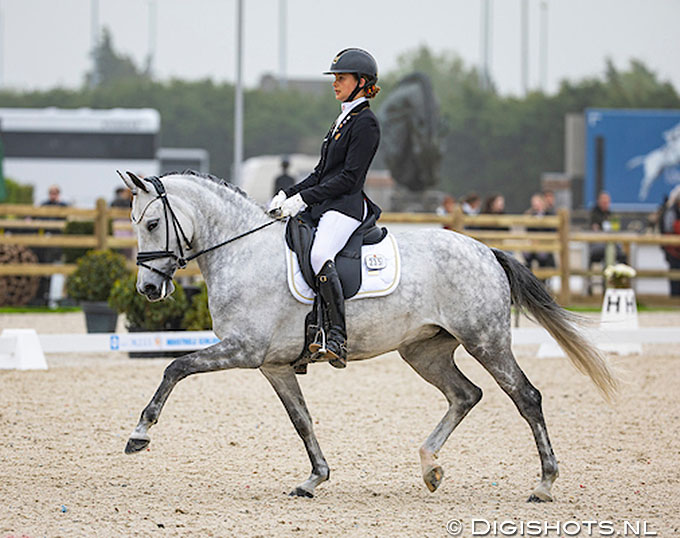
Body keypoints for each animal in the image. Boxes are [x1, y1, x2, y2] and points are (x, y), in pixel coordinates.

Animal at [119, 170, 617, 502]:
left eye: (151, 224)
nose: (148, 289)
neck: (243, 251)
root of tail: (486, 250)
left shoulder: (244, 349)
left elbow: (176, 366)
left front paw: (140, 433)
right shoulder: (273, 365)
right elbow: (302, 420)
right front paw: (314, 478)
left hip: (486, 341)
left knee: (525, 397)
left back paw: (544, 484)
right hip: (424, 351)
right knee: (465, 394)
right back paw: (430, 466)